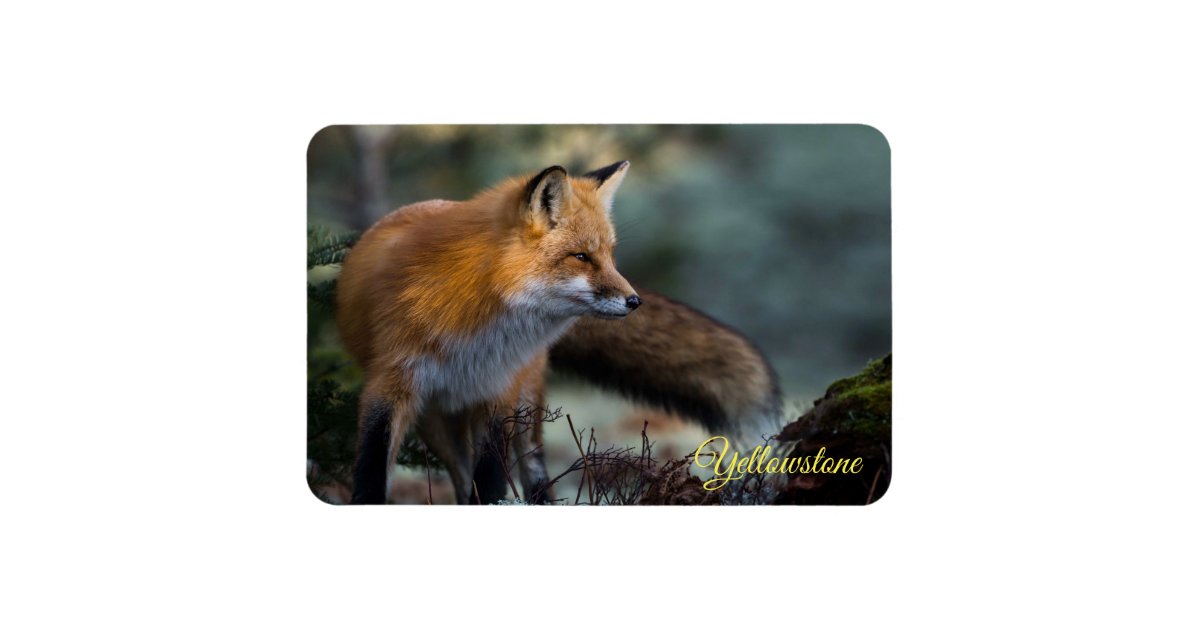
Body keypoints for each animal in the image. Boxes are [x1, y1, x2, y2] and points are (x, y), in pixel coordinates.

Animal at [336, 161, 781, 504]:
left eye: (610, 255)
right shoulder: (389, 384)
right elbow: (373, 469)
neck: (473, 329)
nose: (635, 301)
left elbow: (490, 478)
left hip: (523, 404)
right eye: (581, 257)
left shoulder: (498, 393)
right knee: (460, 478)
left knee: (532, 470)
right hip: (435, 419)